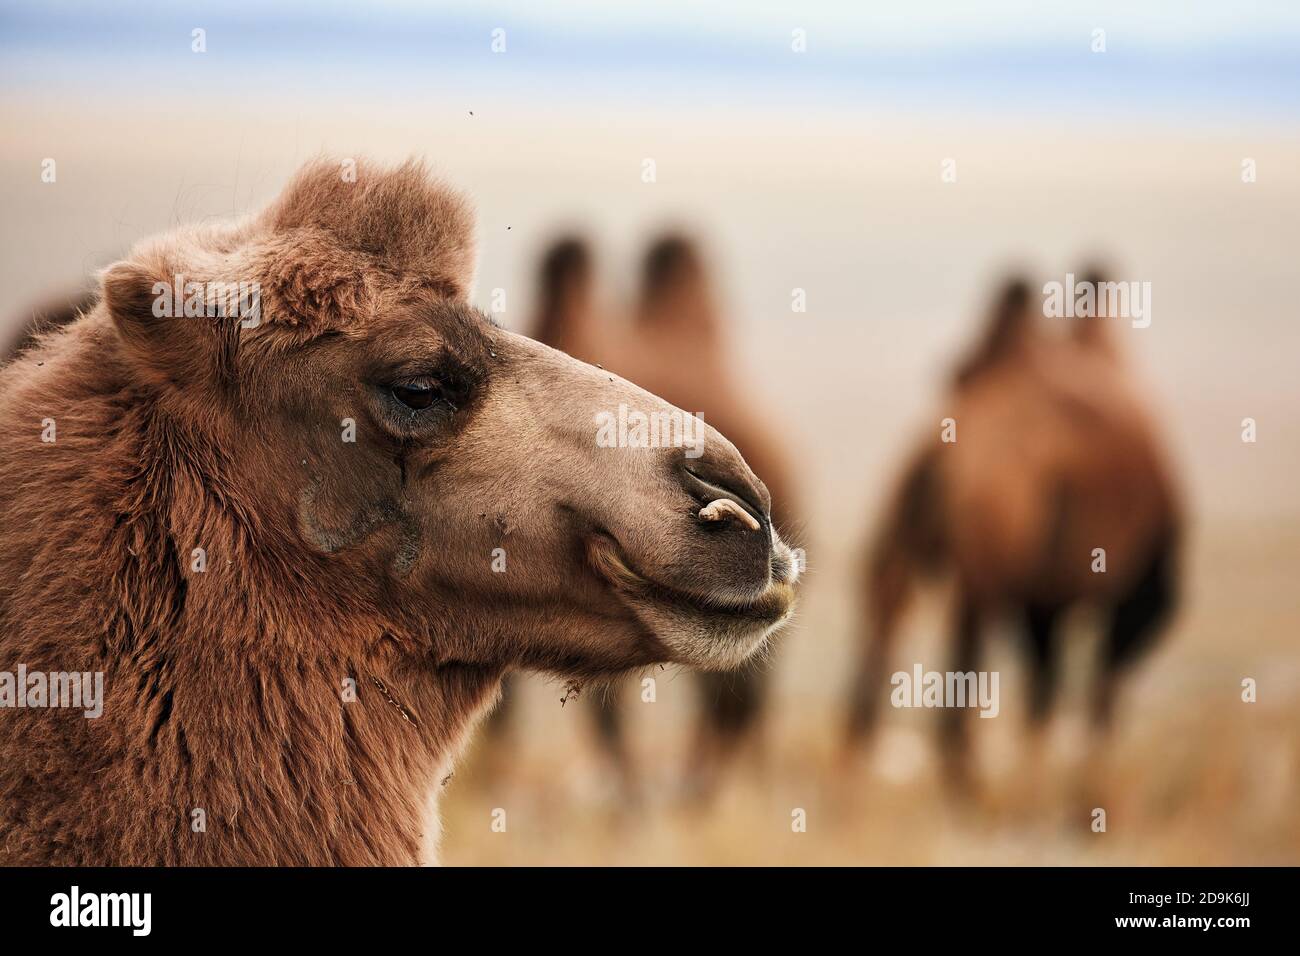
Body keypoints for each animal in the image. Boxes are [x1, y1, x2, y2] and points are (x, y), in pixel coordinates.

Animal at [843, 274, 1181, 791]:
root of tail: (940, 453)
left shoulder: (1048, 592)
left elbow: (1044, 684)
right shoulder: (1125, 587)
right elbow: (1086, 682)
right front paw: (1084, 781)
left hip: (907, 513)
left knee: (889, 594)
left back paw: (858, 761)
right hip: (991, 545)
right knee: (969, 631)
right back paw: (965, 773)